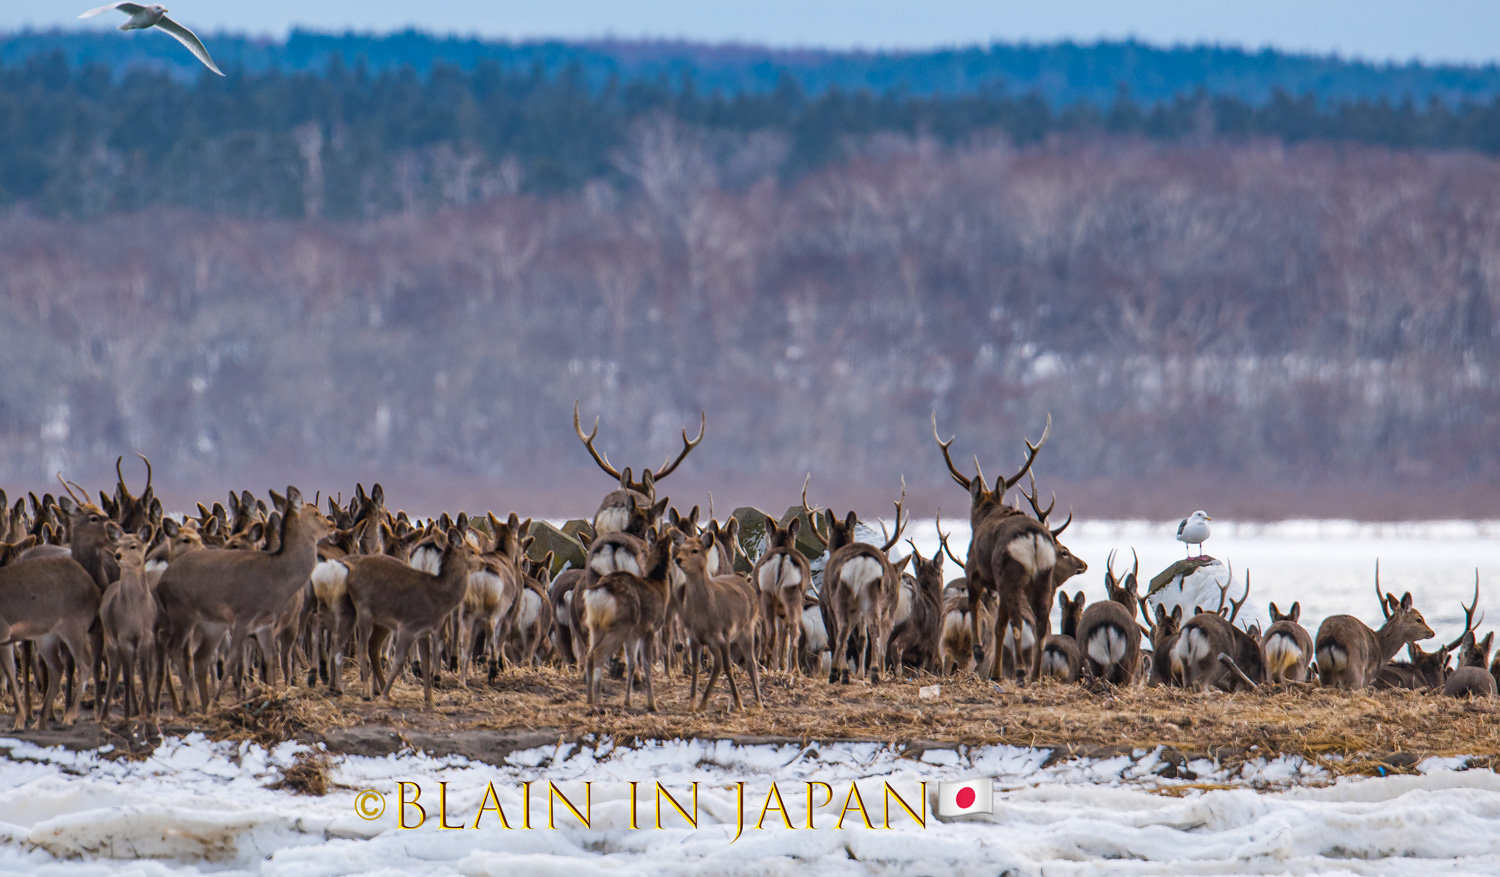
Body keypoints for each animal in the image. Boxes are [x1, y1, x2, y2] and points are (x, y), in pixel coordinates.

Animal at [154, 487, 332, 712]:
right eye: (316, 513)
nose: (331, 524)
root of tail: (161, 582)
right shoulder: (243, 619)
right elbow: (235, 660)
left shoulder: (265, 625)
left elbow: (268, 659)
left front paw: (270, 693)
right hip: (183, 615)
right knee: (176, 649)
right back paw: (196, 702)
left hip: (213, 624)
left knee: (200, 656)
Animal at [581, 530, 671, 710]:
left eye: (644, 551)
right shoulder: (649, 629)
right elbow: (646, 663)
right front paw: (651, 703)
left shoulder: (634, 634)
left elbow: (632, 663)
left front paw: (628, 700)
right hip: (619, 627)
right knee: (598, 654)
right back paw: (598, 699)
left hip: (596, 624)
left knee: (590, 654)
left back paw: (589, 697)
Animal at [670, 529, 762, 712]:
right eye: (681, 548)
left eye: (695, 550)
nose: (677, 559)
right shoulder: (695, 637)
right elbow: (697, 667)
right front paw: (692, 703)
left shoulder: (724, 634)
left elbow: (728, 667)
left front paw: (739, 703)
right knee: (718, 663)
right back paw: (703, 703)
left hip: (747, 628)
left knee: (750, 662)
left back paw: (758, 702)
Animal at [805, 480, 910, 684]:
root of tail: (864, 560)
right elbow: (862, 639)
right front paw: (861, 673)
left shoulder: (826, 605)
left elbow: (837, 638)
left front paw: (842, 671)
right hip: (875, 600)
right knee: (876, 631)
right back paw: (875, 673)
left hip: (842, 597)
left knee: (843, 631)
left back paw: (839, 674)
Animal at [933, 412, 1060, 682]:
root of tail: (1034, 538)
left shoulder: (973, 570)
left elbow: (978, 609)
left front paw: (980, 652)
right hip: (1043, 577)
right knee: (1041, 625)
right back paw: (1033, 675)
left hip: (1009, 574)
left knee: (1012, 623)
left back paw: (1015, 671)